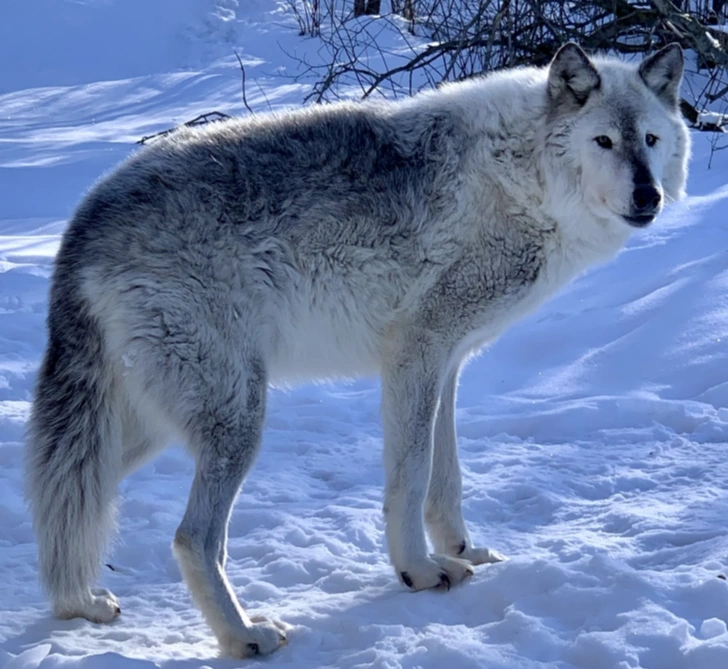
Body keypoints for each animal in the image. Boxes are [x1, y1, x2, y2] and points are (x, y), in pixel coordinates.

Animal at [25, 42, 689, 657]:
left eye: (651, 140)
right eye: (604, 141)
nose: (648, 196)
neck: (523, 177)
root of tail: (84, 218)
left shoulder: (447, 364)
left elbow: (447, 478)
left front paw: (463, 550)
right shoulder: (415, 354)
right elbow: (412, 478)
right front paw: (418, 571)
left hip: (147, 426)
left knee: (67, 501)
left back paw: (81, 604)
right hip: (236, 418)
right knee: (191, 537)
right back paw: (243, 636)